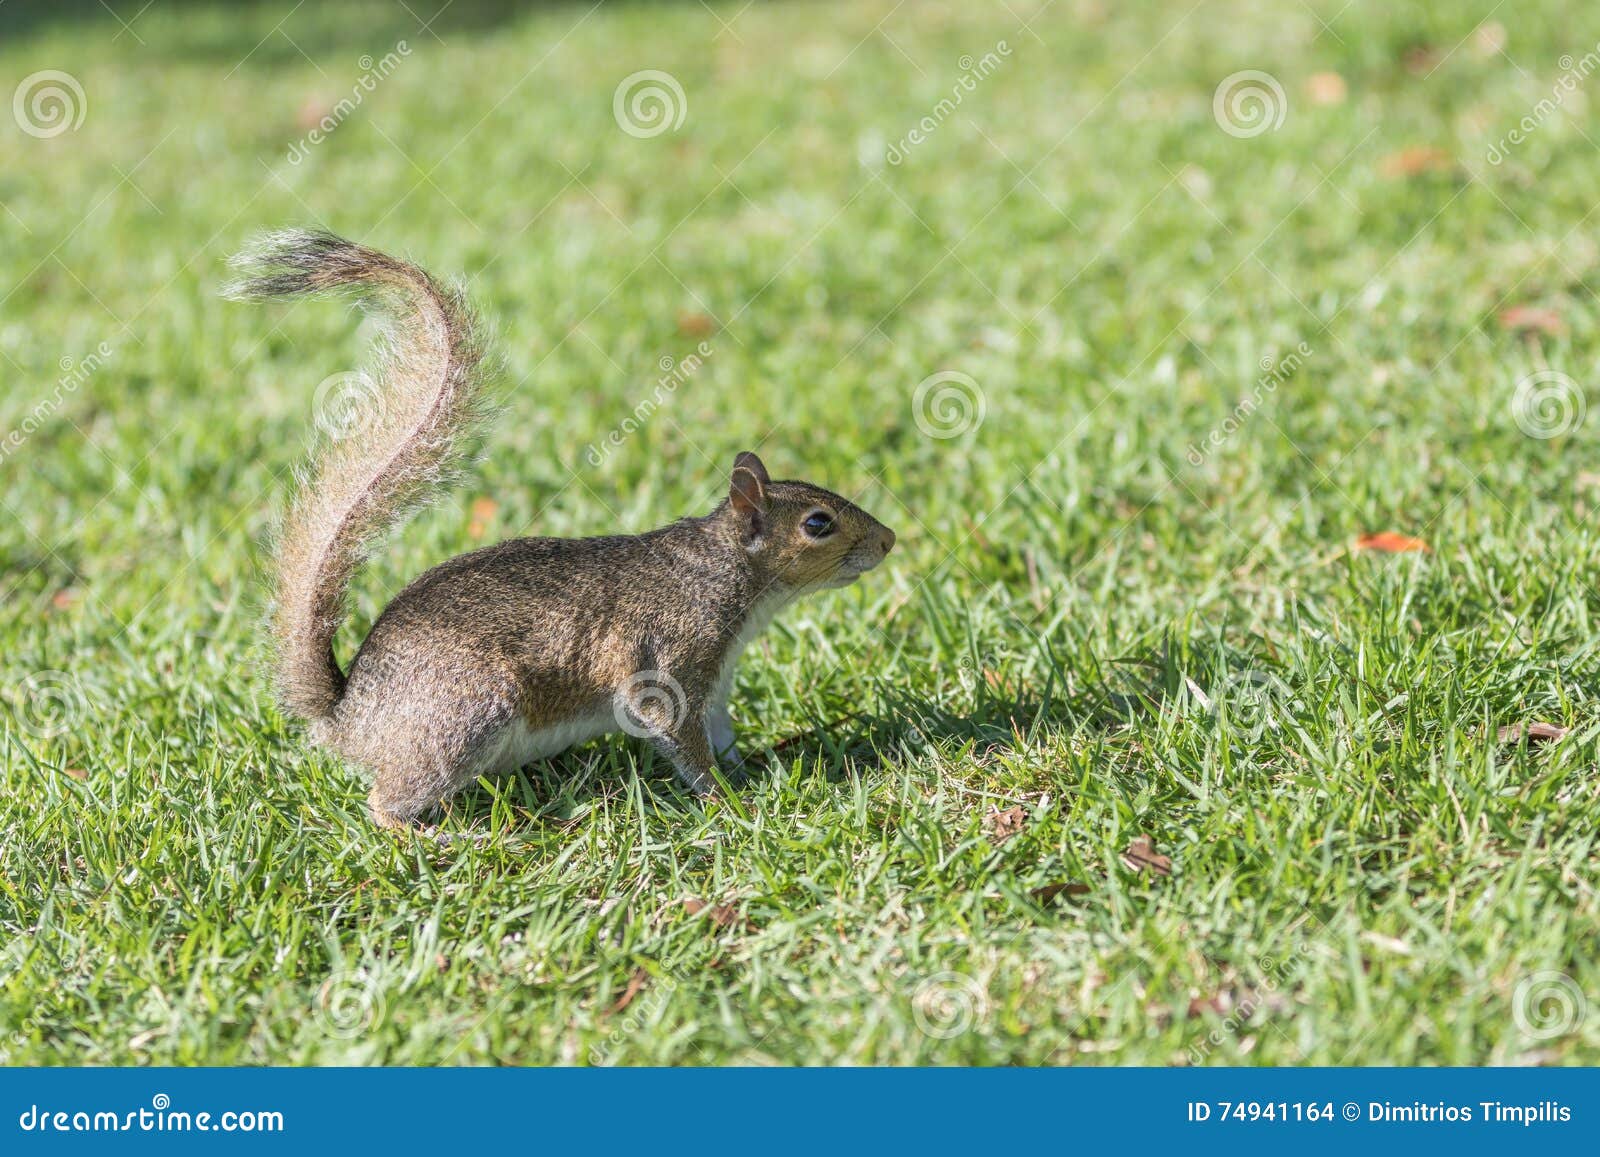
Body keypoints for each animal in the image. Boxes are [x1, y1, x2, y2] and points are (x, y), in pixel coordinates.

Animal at [227, 230, 896, 828]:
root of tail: (350, 721)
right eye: (818, 523)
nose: (889, 541)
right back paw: (437, 836)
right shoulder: (669, 663)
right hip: (465, 713)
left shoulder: (718, 682)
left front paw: (752, 774)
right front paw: (726, 804)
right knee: (385, 801)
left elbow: (721, 736)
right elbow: (674, 733)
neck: (728, 572)